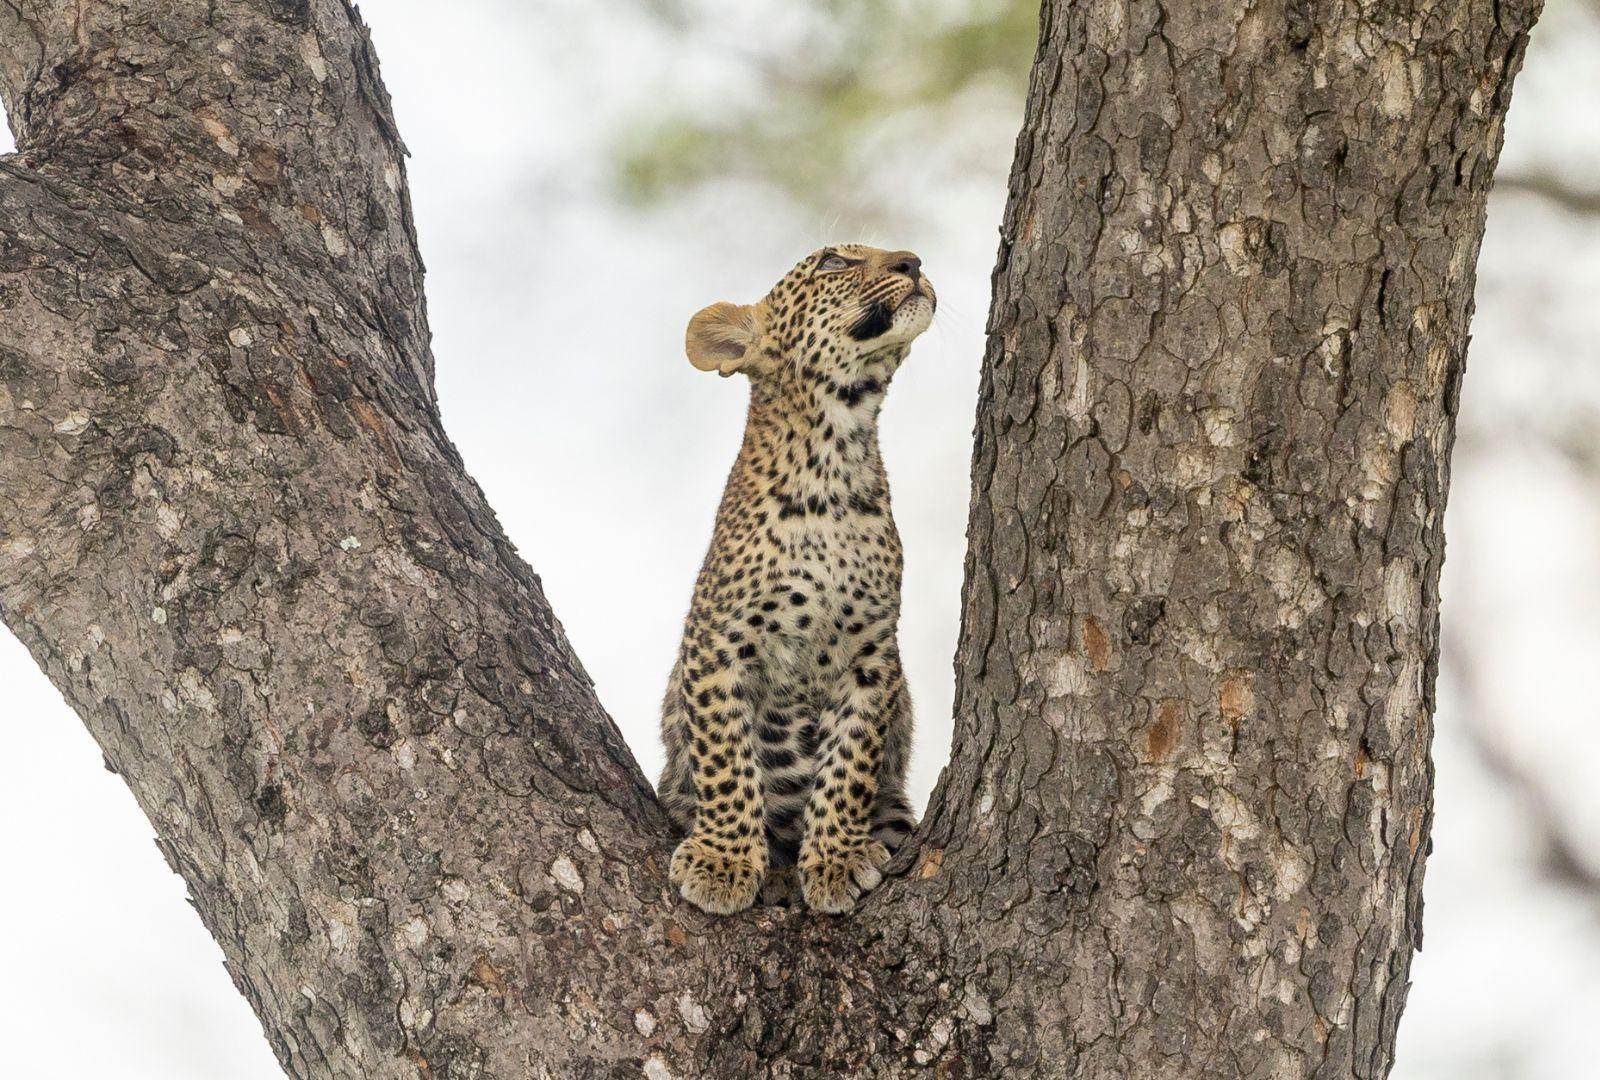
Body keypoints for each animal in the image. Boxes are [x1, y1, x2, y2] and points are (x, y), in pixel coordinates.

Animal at [657, 243, 934, 916]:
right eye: (835, 262)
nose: (914, 262)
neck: (834, 455)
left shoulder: (871, 652)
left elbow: (851, 761)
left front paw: (836, 858)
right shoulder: (717, 642)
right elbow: (725, 759)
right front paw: (723, 861)